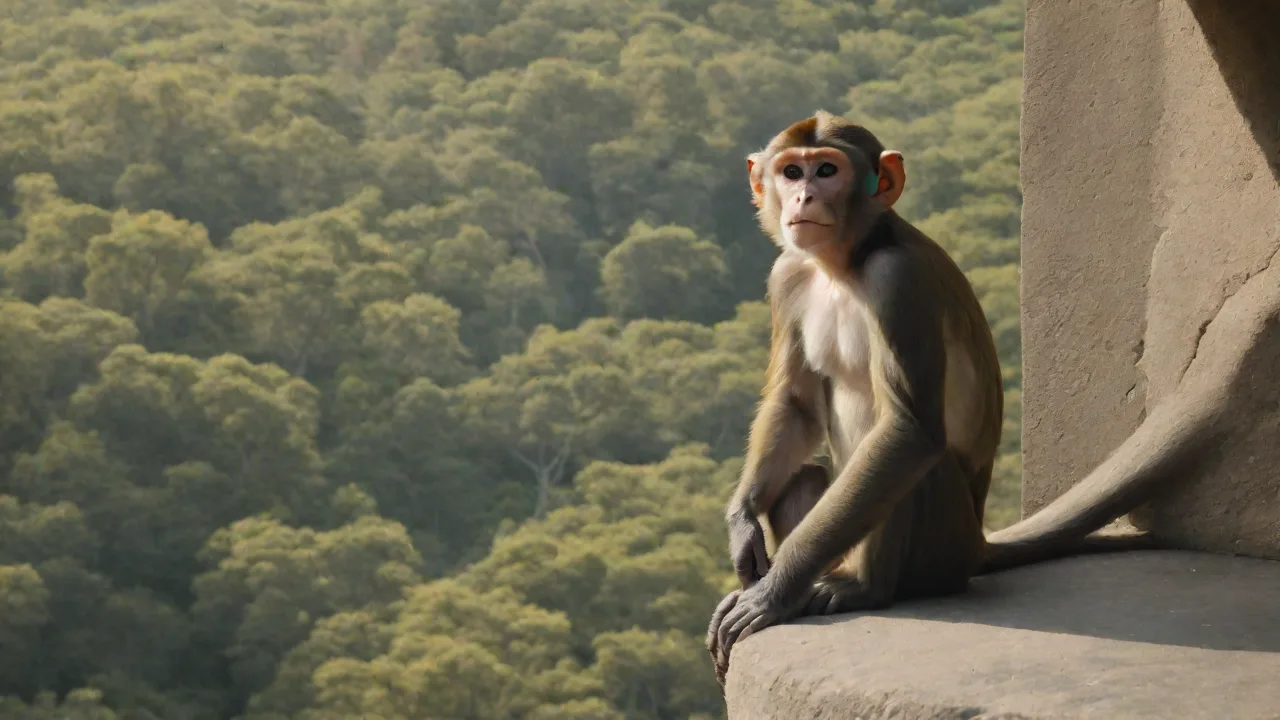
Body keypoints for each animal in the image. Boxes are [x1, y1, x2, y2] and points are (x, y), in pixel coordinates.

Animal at [704, 110, 1223, 685]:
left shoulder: (898, 282)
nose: (803, 198)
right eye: (791, 171)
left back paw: (863, 588)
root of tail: (977, 544)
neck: (846, 262)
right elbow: (795, 404)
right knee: (806, 476)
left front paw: (774, 591)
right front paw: (742, 525)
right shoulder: (788, 276)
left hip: (943, 549)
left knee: (913, 461)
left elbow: (909, 431)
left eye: (826, 170)